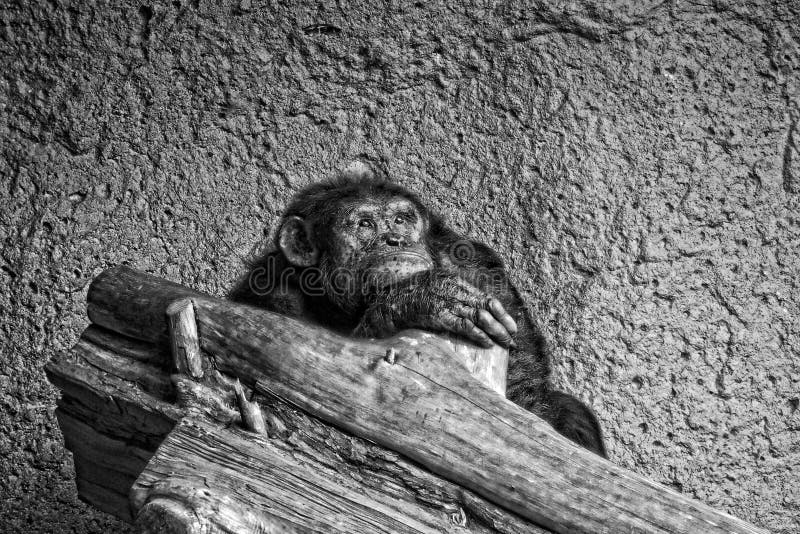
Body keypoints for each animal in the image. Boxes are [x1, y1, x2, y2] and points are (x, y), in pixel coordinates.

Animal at [230, 173, 607, 457]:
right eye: (365, 225)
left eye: (401, 219)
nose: (395, 240)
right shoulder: (270, 290)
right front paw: (422, 299)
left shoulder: (479, 269)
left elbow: (525, 388)